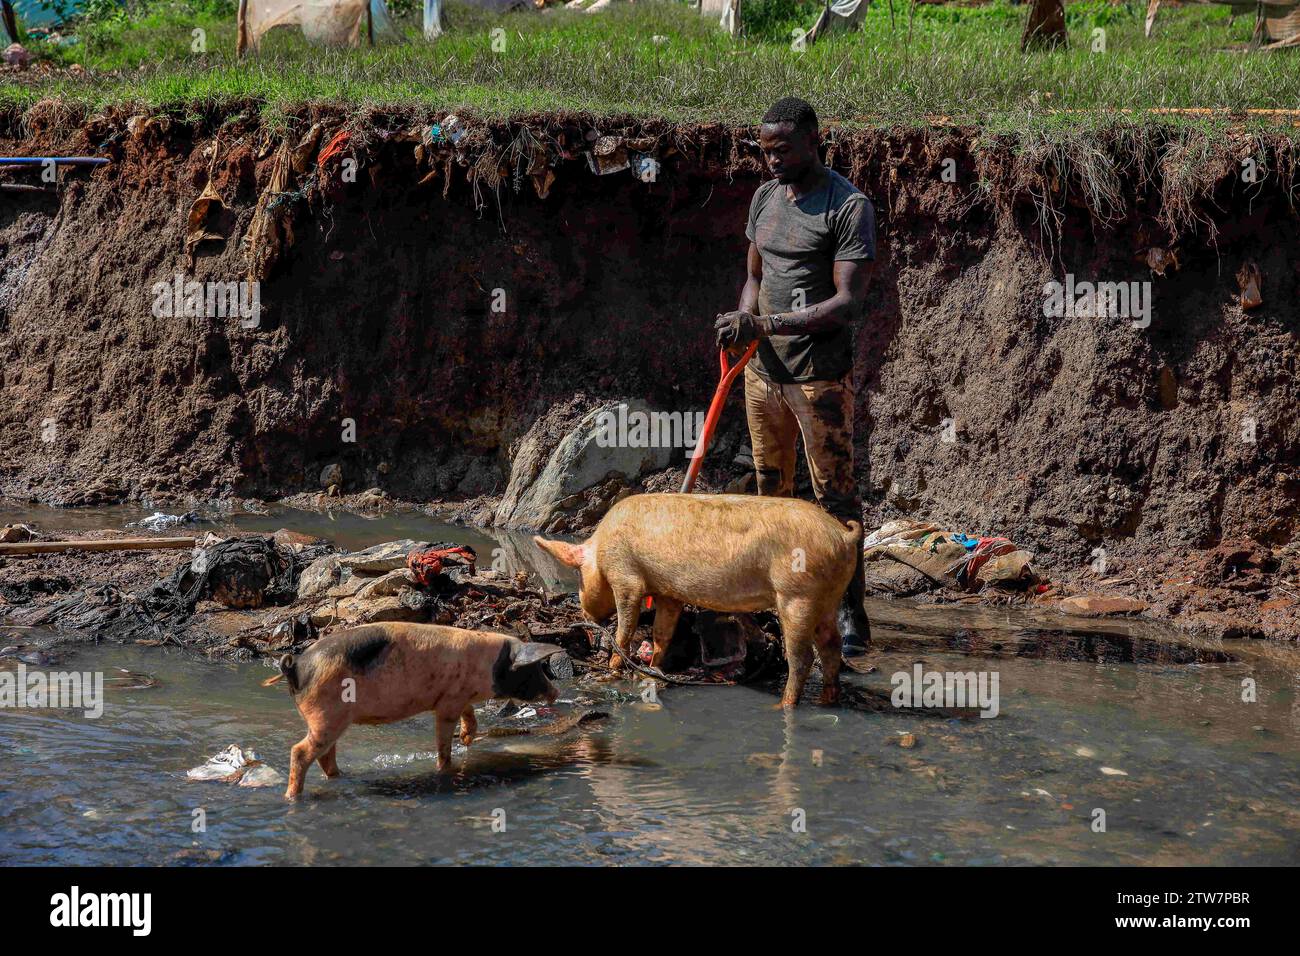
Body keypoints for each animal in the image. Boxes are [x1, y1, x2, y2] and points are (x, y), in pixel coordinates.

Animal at [265, 622, 565, 799]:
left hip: (331, 720)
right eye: (534, 668)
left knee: (326, 755)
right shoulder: (448, 702)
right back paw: (292, 797)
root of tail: (295, 666)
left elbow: (469, 713)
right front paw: (445, 767)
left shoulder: (457, 697)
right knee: (300, 752)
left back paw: (343, 777)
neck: (489, 666)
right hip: (326, 715)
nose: (555, 692)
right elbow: (443, 740)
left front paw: (467, 739)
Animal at [534, 492, 861, 708]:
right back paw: (826, 700)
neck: (600, 549)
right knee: (831, 646)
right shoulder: (668, 593)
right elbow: (662, 633)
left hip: (797, 596)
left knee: (802, 657)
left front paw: (614, 664)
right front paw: (653, 666)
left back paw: (782, 705)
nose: (586, 619)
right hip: (829, 597)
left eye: (579, 577)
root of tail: (841, 535)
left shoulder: (626, 576)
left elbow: (626, 626)